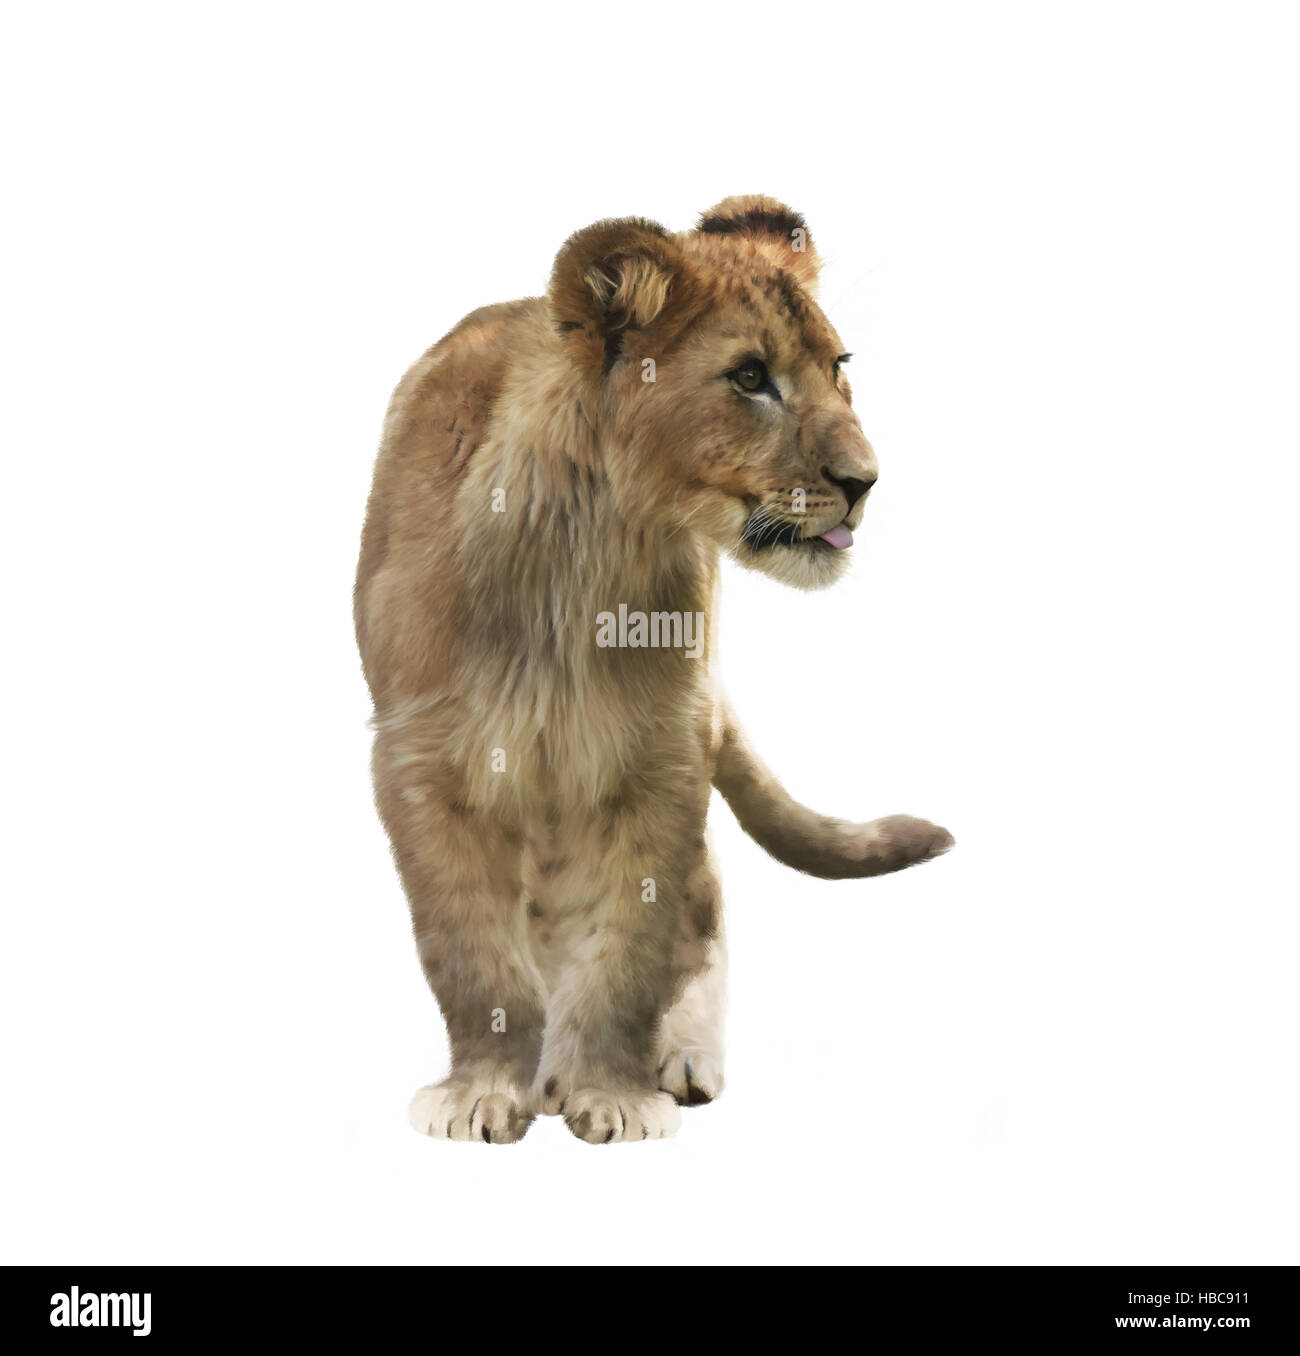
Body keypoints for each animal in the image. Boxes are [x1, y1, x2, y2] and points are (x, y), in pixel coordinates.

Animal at [355, 195, 953, 1144]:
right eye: (749, 377)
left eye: (838, 367)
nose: (866, 482)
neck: (587, 561)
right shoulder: (420, 757)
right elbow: (470, 951)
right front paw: (482, 1093)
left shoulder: (663, 751)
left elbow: (632, 950)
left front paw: (613, 1095)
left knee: (701, 915)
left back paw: (678, 1058)